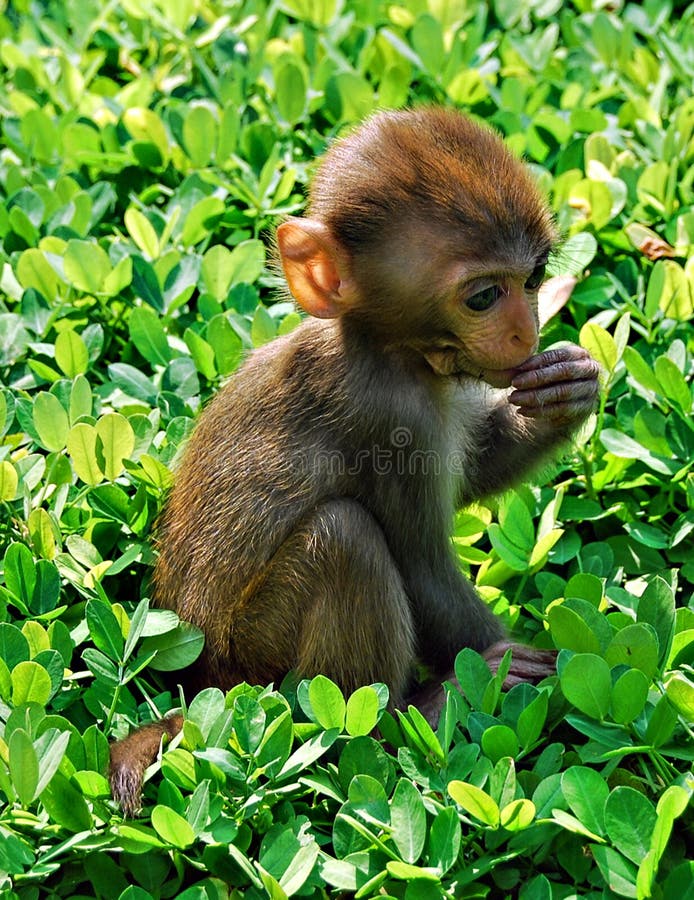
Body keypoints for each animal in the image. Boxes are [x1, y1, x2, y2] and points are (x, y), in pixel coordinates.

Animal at [109, 107, 599, 815]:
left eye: (532, 280)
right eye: (484, 297)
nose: (525, 333)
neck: (384, 347)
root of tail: (206, 685)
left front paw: (563, 394)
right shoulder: (391, 418)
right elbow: (421, 565)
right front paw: (500, 659)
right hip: (263, 663)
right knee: (346, 538)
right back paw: (412, 710)